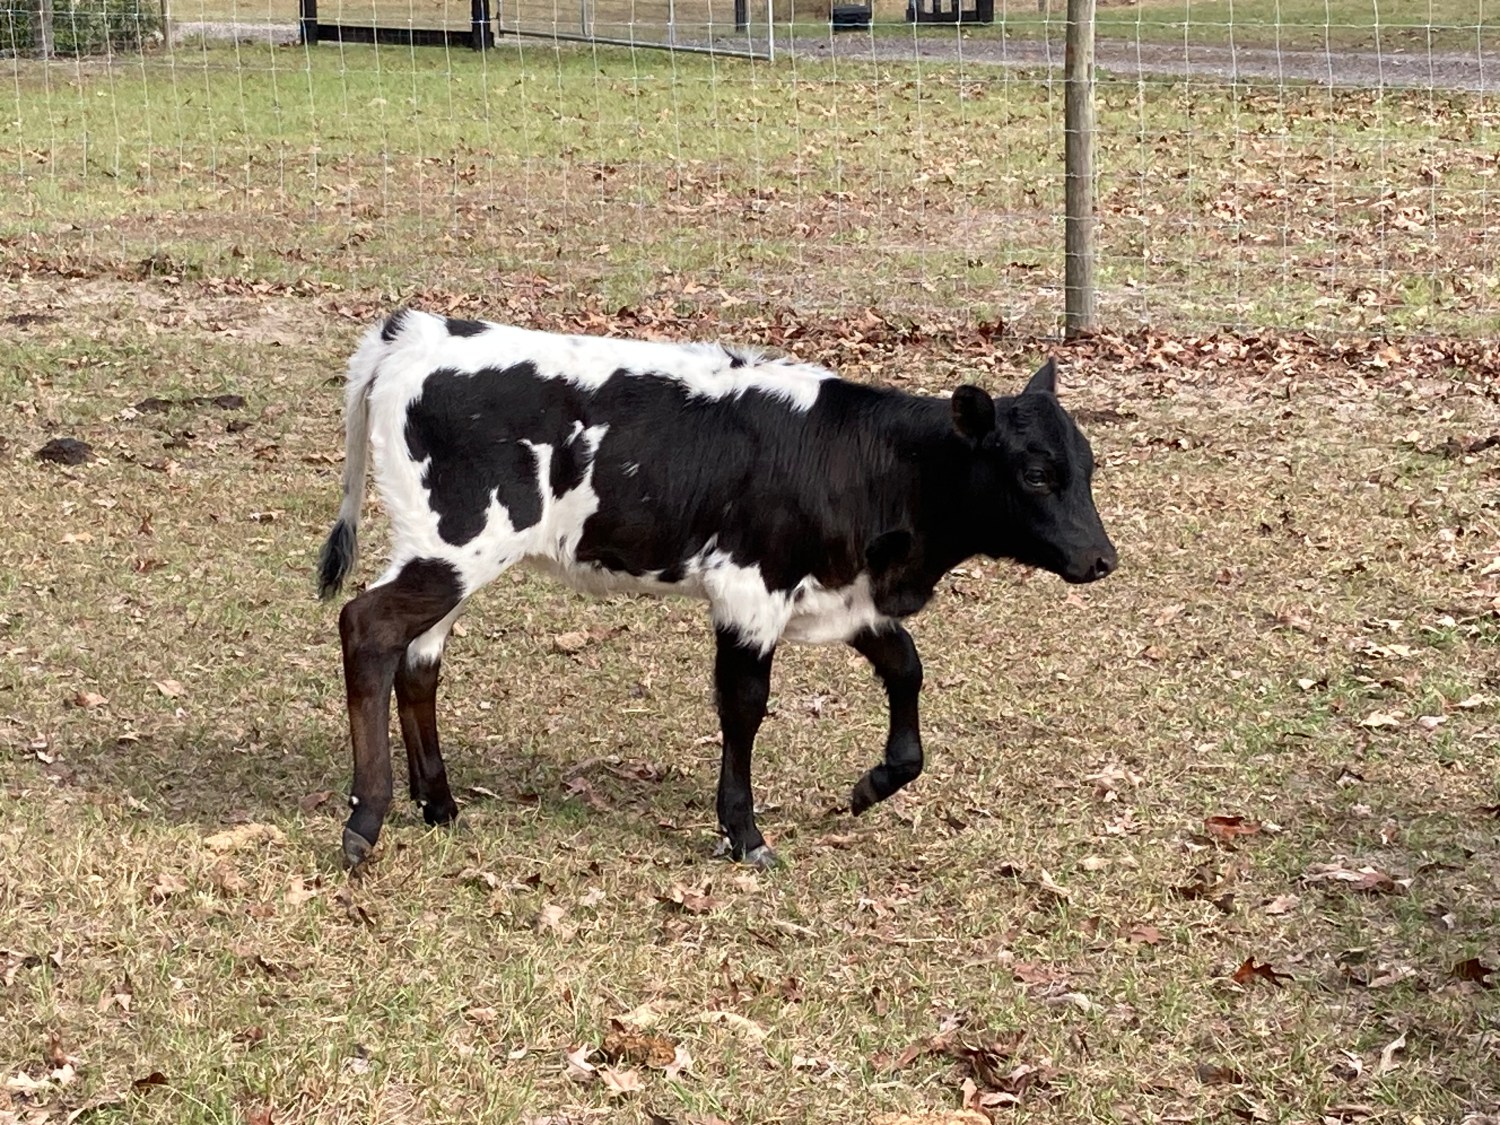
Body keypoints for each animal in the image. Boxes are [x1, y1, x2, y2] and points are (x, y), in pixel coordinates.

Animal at [317, 308, 1117, 872]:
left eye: (1088, 465)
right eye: (1037, 474)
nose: (1102, 558)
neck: (864, 459)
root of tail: (412, 332)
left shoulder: (842, 596)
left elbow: (907, 669)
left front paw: (876, 782)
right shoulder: (749, 592)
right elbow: (745, 706)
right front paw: (743, 831)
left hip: (441, 554)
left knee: (418, 663)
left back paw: (439, 803)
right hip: (455, 548)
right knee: (367, 627)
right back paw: (366, 819)